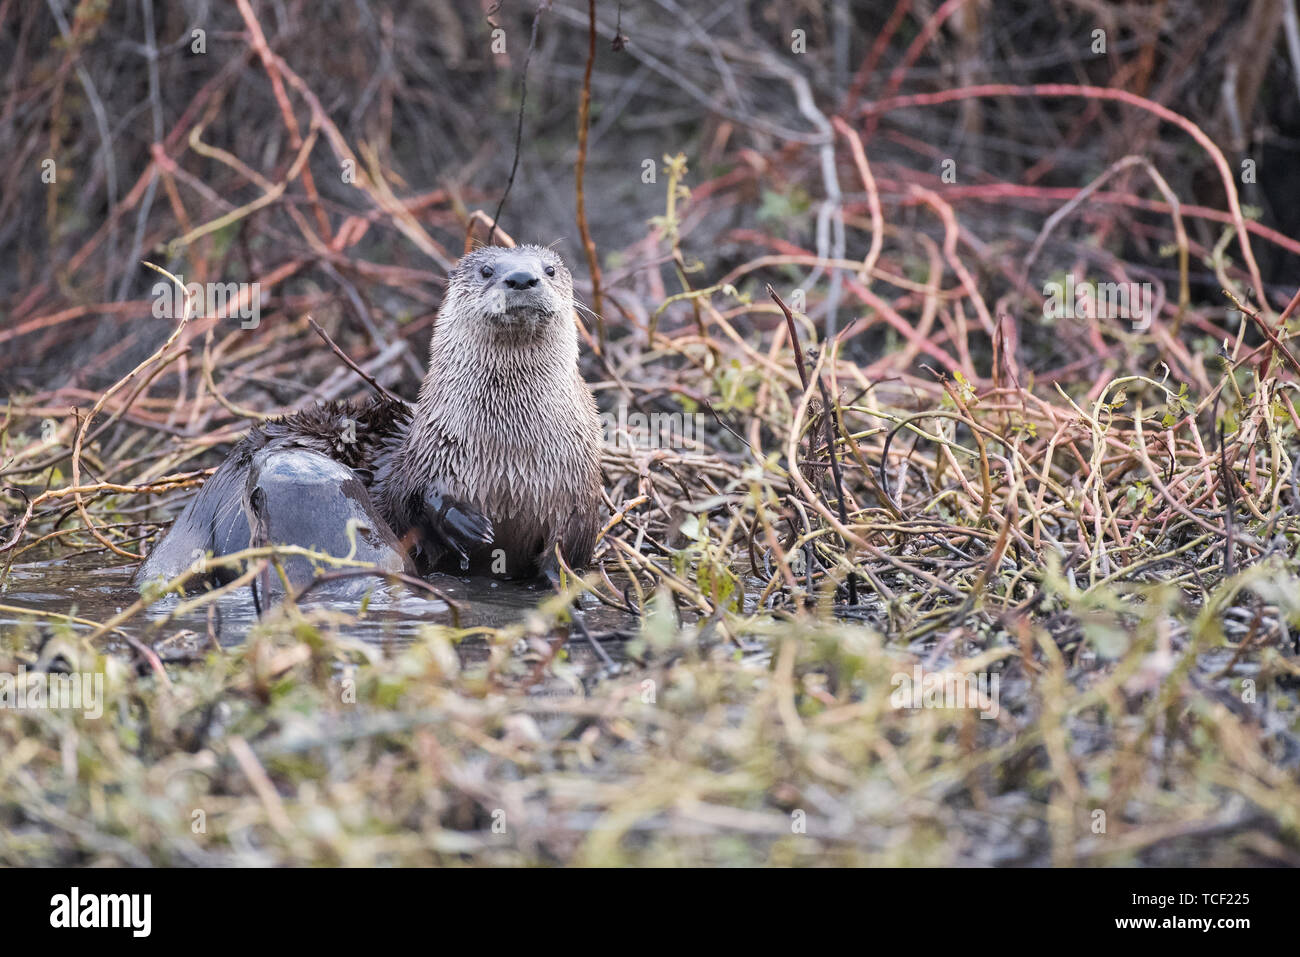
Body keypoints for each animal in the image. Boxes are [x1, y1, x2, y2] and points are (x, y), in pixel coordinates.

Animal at [134, 244, 603, 593]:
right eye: (487, 270)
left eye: (550, 269)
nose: (521, 278)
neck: (509, 453)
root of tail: (207, 492)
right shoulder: (427, 454)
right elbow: (409, 496)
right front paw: (460, 520)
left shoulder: (579, 498)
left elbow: (567, 553)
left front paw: (566, 586)